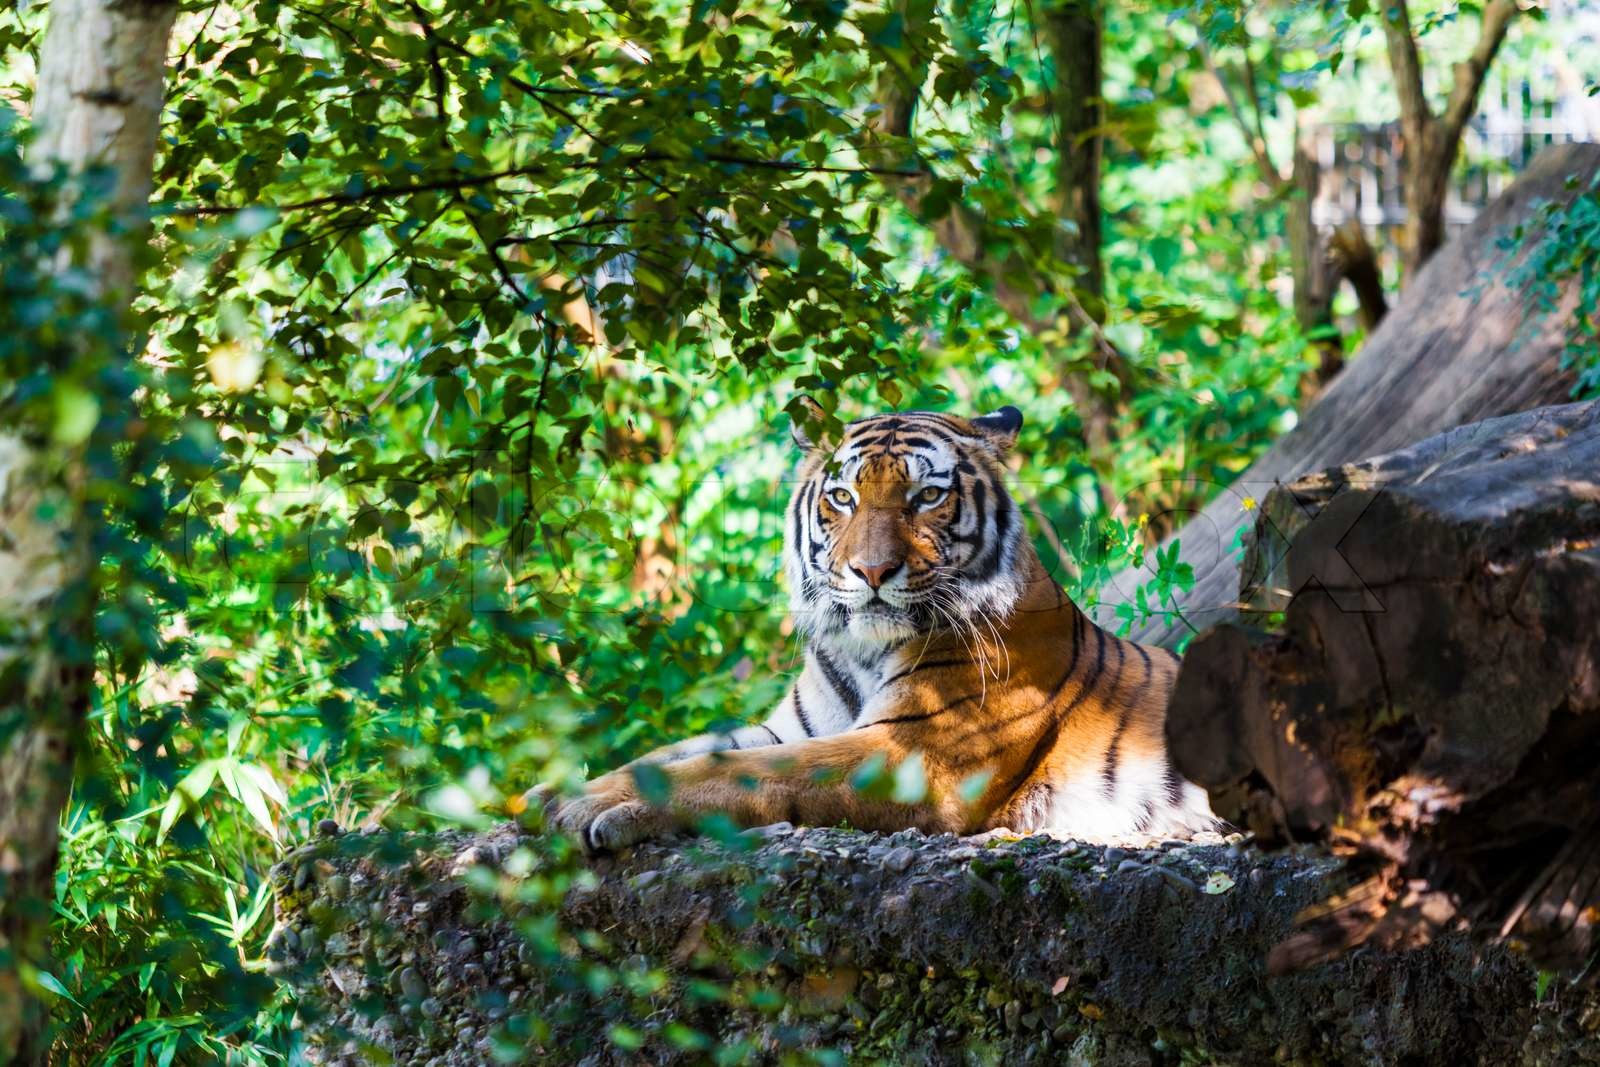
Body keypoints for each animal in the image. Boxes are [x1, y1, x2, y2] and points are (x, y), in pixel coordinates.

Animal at [537, 404, 1220, 852]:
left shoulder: (909, 750)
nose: (871, 570)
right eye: (842, 497)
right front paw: (559, 793)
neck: (863, 651)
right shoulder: (794, 726)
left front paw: (595, 808)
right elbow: (680, 751)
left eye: (927, 497)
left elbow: (737, 770)